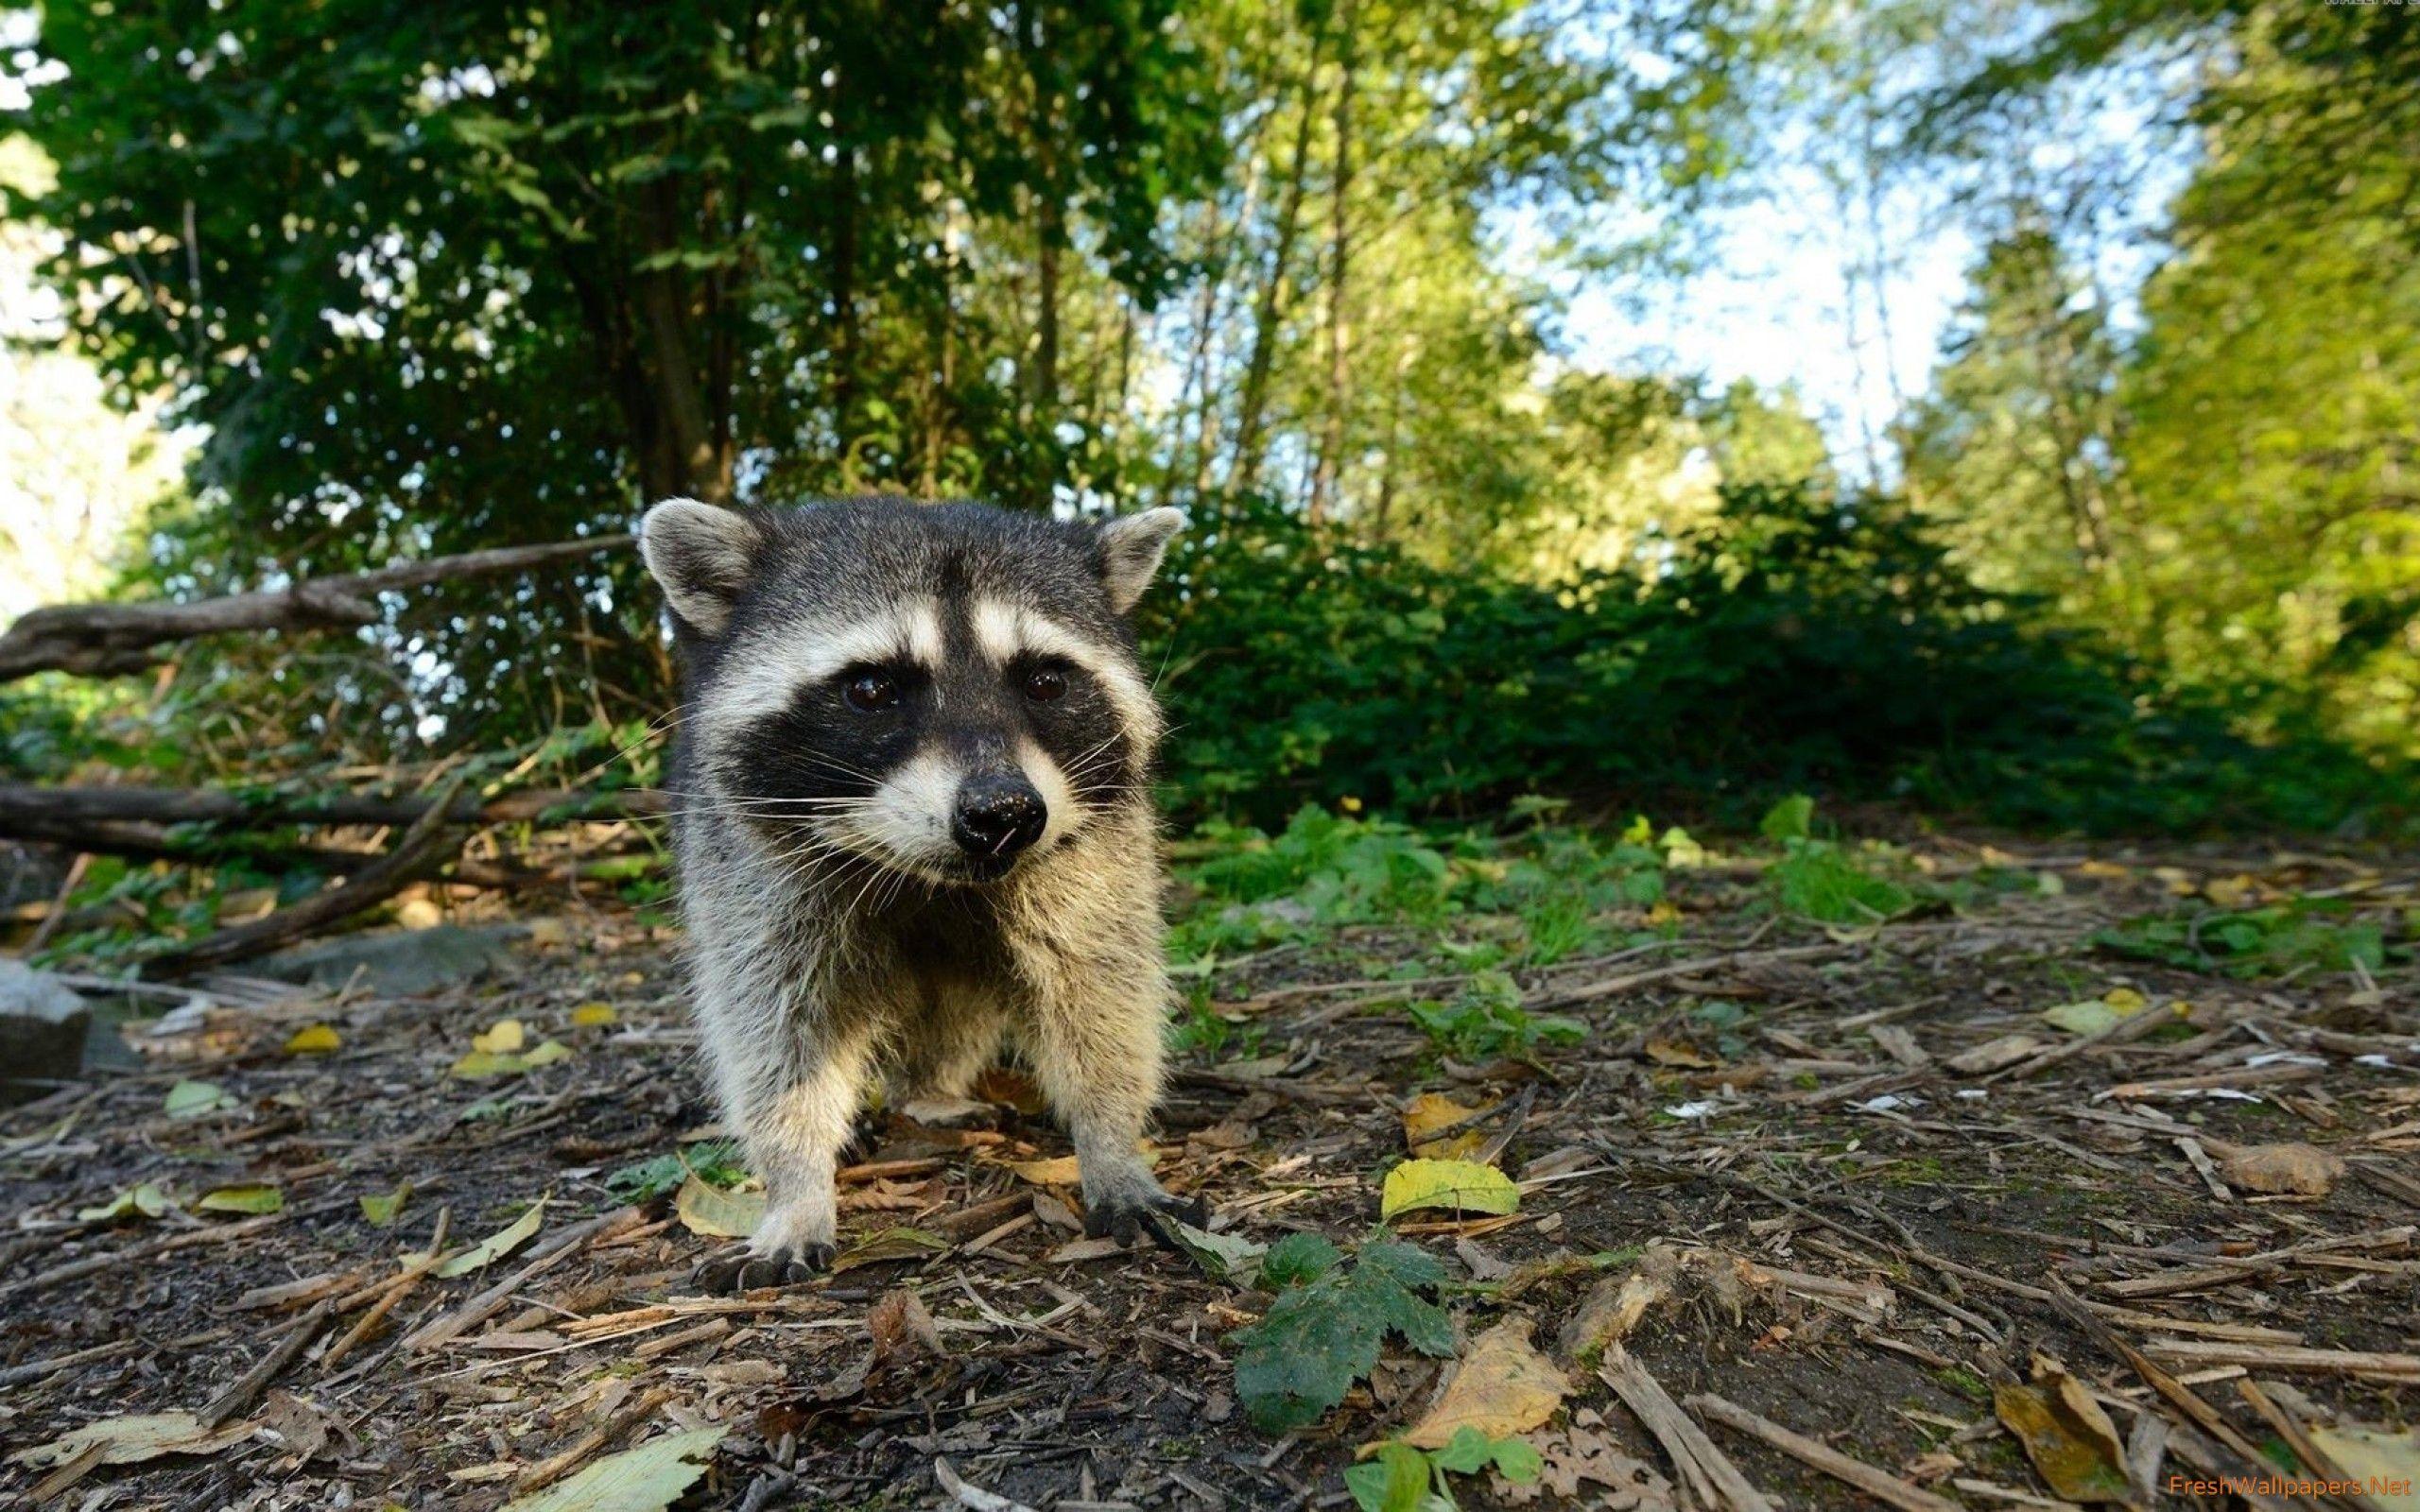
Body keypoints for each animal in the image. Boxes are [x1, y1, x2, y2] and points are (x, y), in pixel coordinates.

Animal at [638, 495, 1201, 1290]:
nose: (1004, 812)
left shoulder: (1094, 852)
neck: (924, 874)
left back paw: (930, 1088)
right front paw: (795, 1182)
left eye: (1044, 681)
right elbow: (775, 1025)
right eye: (873, 689)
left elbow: (1100, 989)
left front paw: (1113, 1145)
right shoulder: (750, 867)